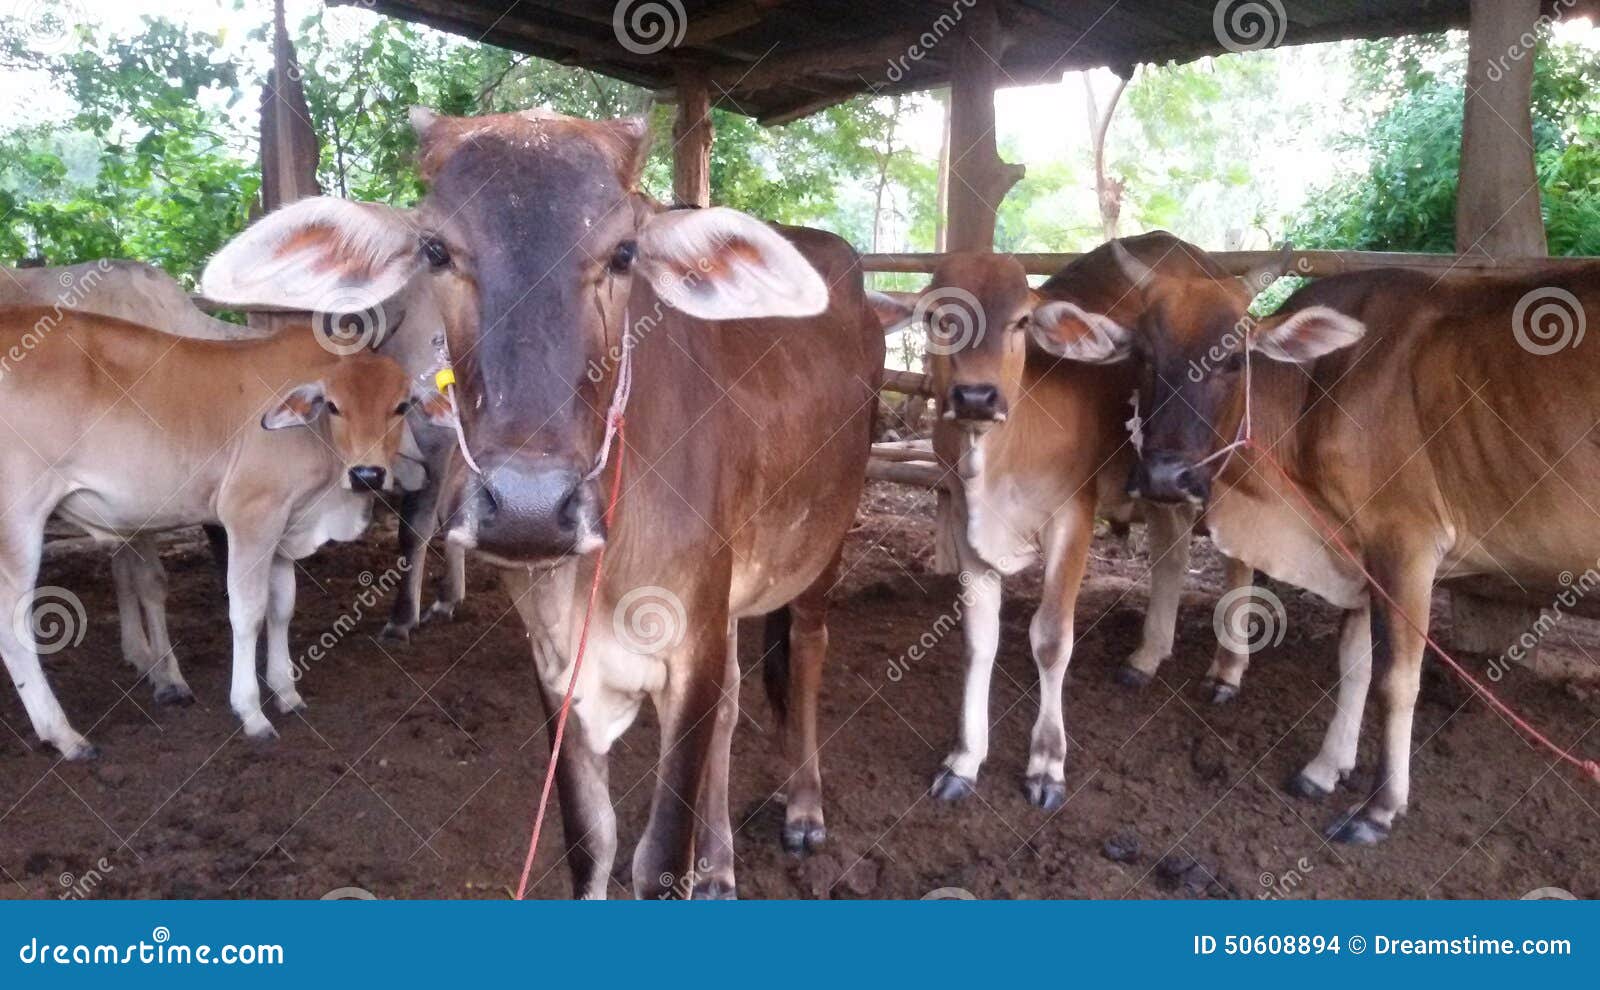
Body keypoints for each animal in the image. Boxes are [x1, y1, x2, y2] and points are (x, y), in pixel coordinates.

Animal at [0, 305, 448, 757]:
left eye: (402, 406)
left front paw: (287, 692)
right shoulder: (251, 515)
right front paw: (251, 711)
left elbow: (282, 607)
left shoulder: (283, 528)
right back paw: (64, 734)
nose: (367, 474)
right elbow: (248, 612)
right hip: (18, 518)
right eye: (335, 406)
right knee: (12, 624)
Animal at [195, 106, 883, 899]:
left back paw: (803, 808)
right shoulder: (560, 662)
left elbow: (656, 858)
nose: (527, 507)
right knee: (738, 700)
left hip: (823, 546)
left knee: (806, 652)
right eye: (435, 249)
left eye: (623, 253)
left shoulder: (691, 653)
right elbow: (591, 842)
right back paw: (719, 862)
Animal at [868, 237, 1256, 809]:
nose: (976, 397)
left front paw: (1046, 764)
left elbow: (1051, 640)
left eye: (1021, 321)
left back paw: (1227, 671)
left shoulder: (1073, 517)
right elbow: (979, 640)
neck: (997, 459)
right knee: (1172, 549)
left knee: (1237, 559)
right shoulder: (965, 523)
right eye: (940, 318)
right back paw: (1146, 656)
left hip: (1218, 462)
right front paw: (964, 759)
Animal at [1048, 242, 1600, 844]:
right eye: (1145, 357)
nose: (1166, 477)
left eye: (1234, 360)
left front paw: (1379, 808)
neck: (1315, 393)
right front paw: (1326, 768)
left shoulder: (1404, 544)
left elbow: (1395, 680)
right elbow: (1354, 664)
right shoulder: (1355, 547)